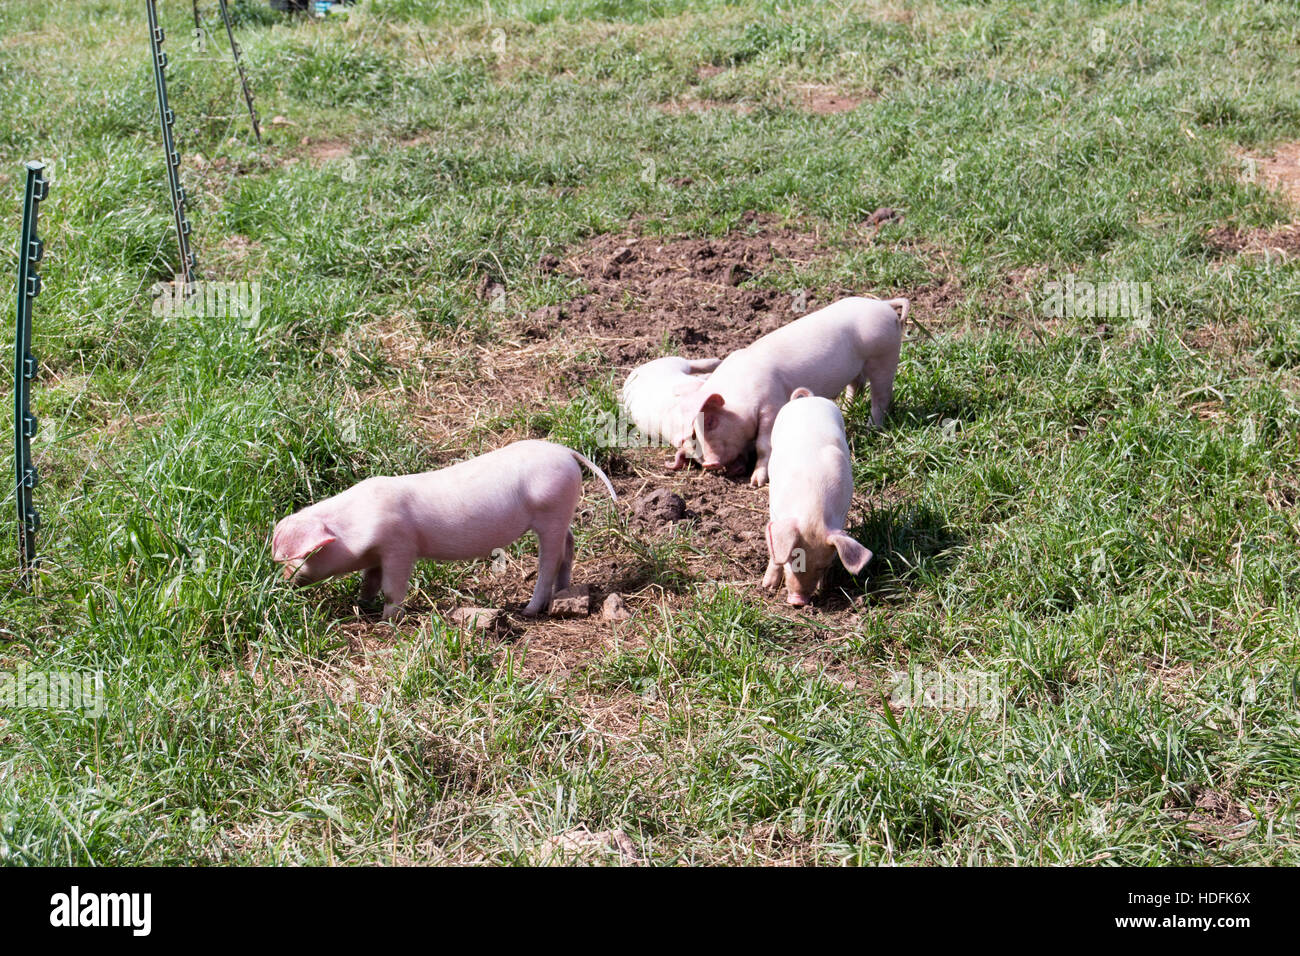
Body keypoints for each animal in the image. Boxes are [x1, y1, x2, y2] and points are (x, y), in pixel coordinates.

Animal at [271, 440, 617, 620]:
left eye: (306, 554)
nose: (283, 581)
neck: (355, 525)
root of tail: (563, 450)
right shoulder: (378, 554)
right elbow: (370, 579)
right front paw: (363, 604)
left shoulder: (399, 546)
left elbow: (392, 587)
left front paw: (386, 620)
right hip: (561, 514)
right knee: (569, 545)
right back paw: (563, 594)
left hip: (550, 512)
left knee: (550, 559)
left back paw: (529, 611)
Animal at [675, 296, 909, 487]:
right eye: (696, 430)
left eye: (711, 422)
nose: (709, 464)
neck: (742, 394)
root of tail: (883, 305)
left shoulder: (771, 406)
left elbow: (763, 445)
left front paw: (756, 482)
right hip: (858, 366)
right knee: (856, 386)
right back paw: (844, 410)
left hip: (884, 357)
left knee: (881, 397)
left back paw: (871, 429)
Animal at [762, 388, 873, 605]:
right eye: (792, 560)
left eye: (822, 565)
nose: (798, 601)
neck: (812, 508)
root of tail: (809, 399)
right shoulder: (775, 512)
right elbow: (774, 550)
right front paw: (767, 586)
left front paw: (823, 587)